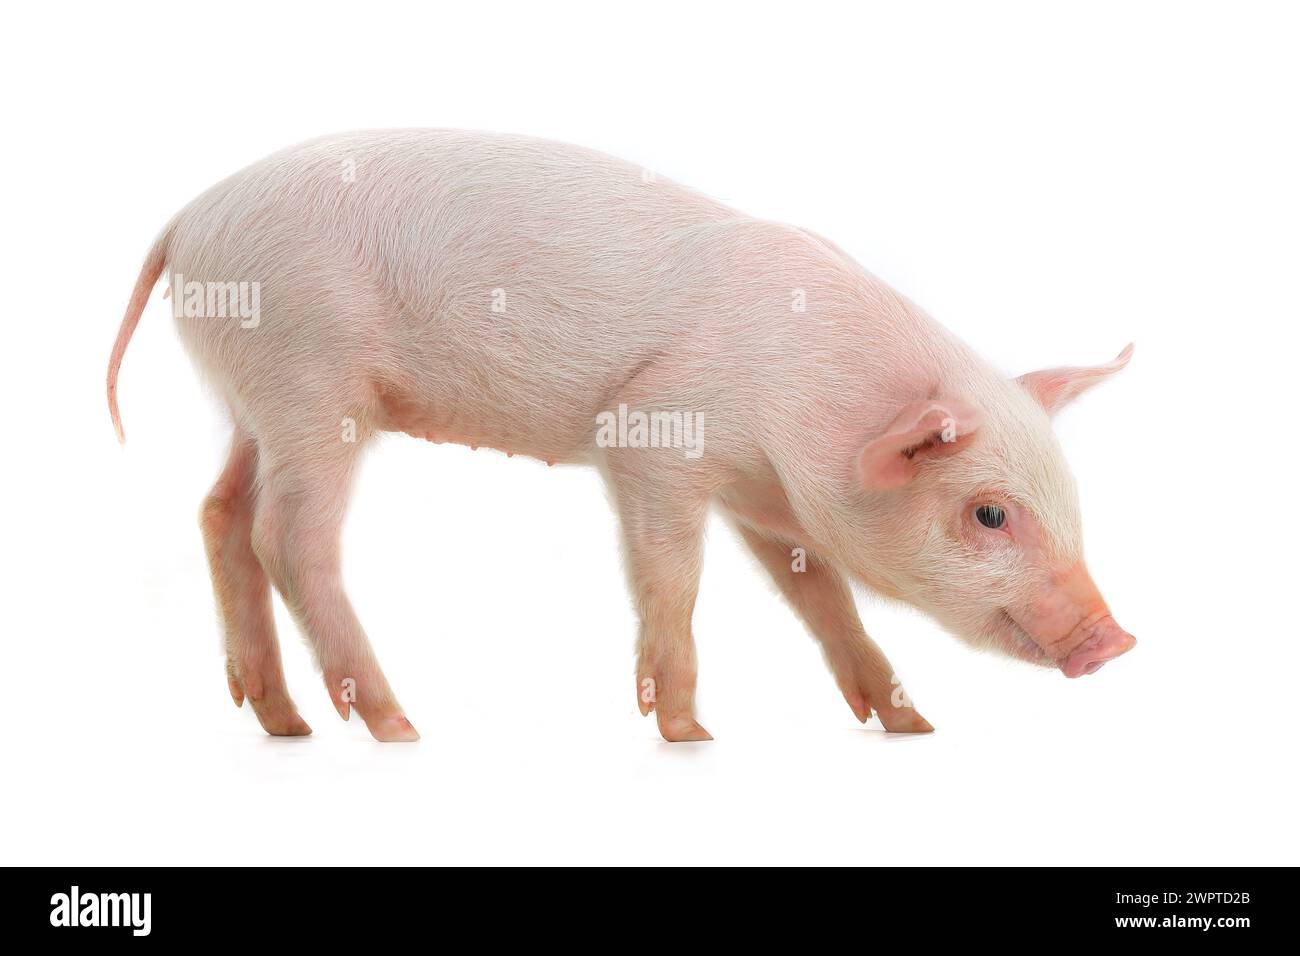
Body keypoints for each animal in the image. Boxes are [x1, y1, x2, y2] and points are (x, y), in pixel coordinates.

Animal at [107, 130, 1135, 743]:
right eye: (990, 513)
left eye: (1073, 504)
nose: (1116, 640)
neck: (805, 406)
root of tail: (184, 221)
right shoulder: (654, 431)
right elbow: (674, 579)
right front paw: (690, 733)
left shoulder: (764, 499)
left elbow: (826, 602)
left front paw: (911, 727)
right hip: (311, 381)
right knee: (289, 537)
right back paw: (400, 726)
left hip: (255, 398)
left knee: (219, 513)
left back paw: (282, 723)